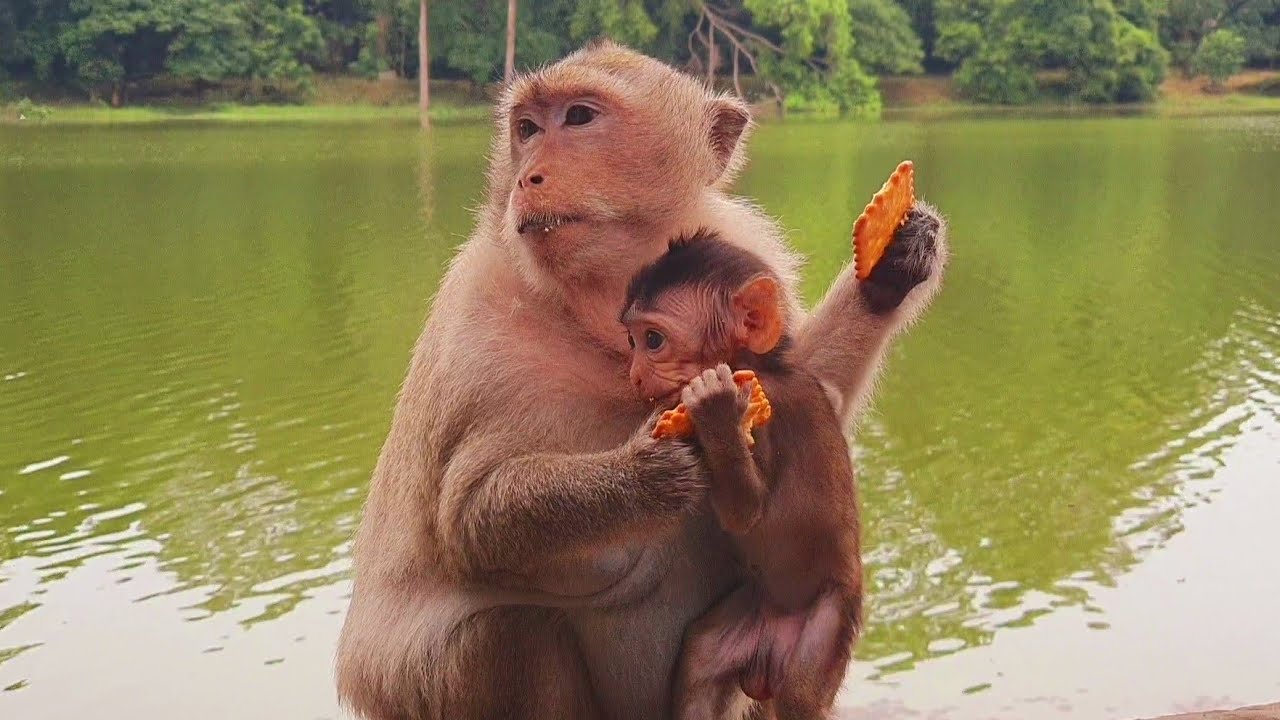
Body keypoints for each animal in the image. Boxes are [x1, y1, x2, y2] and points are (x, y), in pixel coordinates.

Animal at [621, 233, 862, 720]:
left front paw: (714, 409)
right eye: (631, 339)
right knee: (700, 661)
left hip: (828, 617)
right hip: (747, 619)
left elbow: (747, 511)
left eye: (652, 340)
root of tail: (768, 657)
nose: (634, 376)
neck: (758, 367)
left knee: (801, 695)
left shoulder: (769, 410)